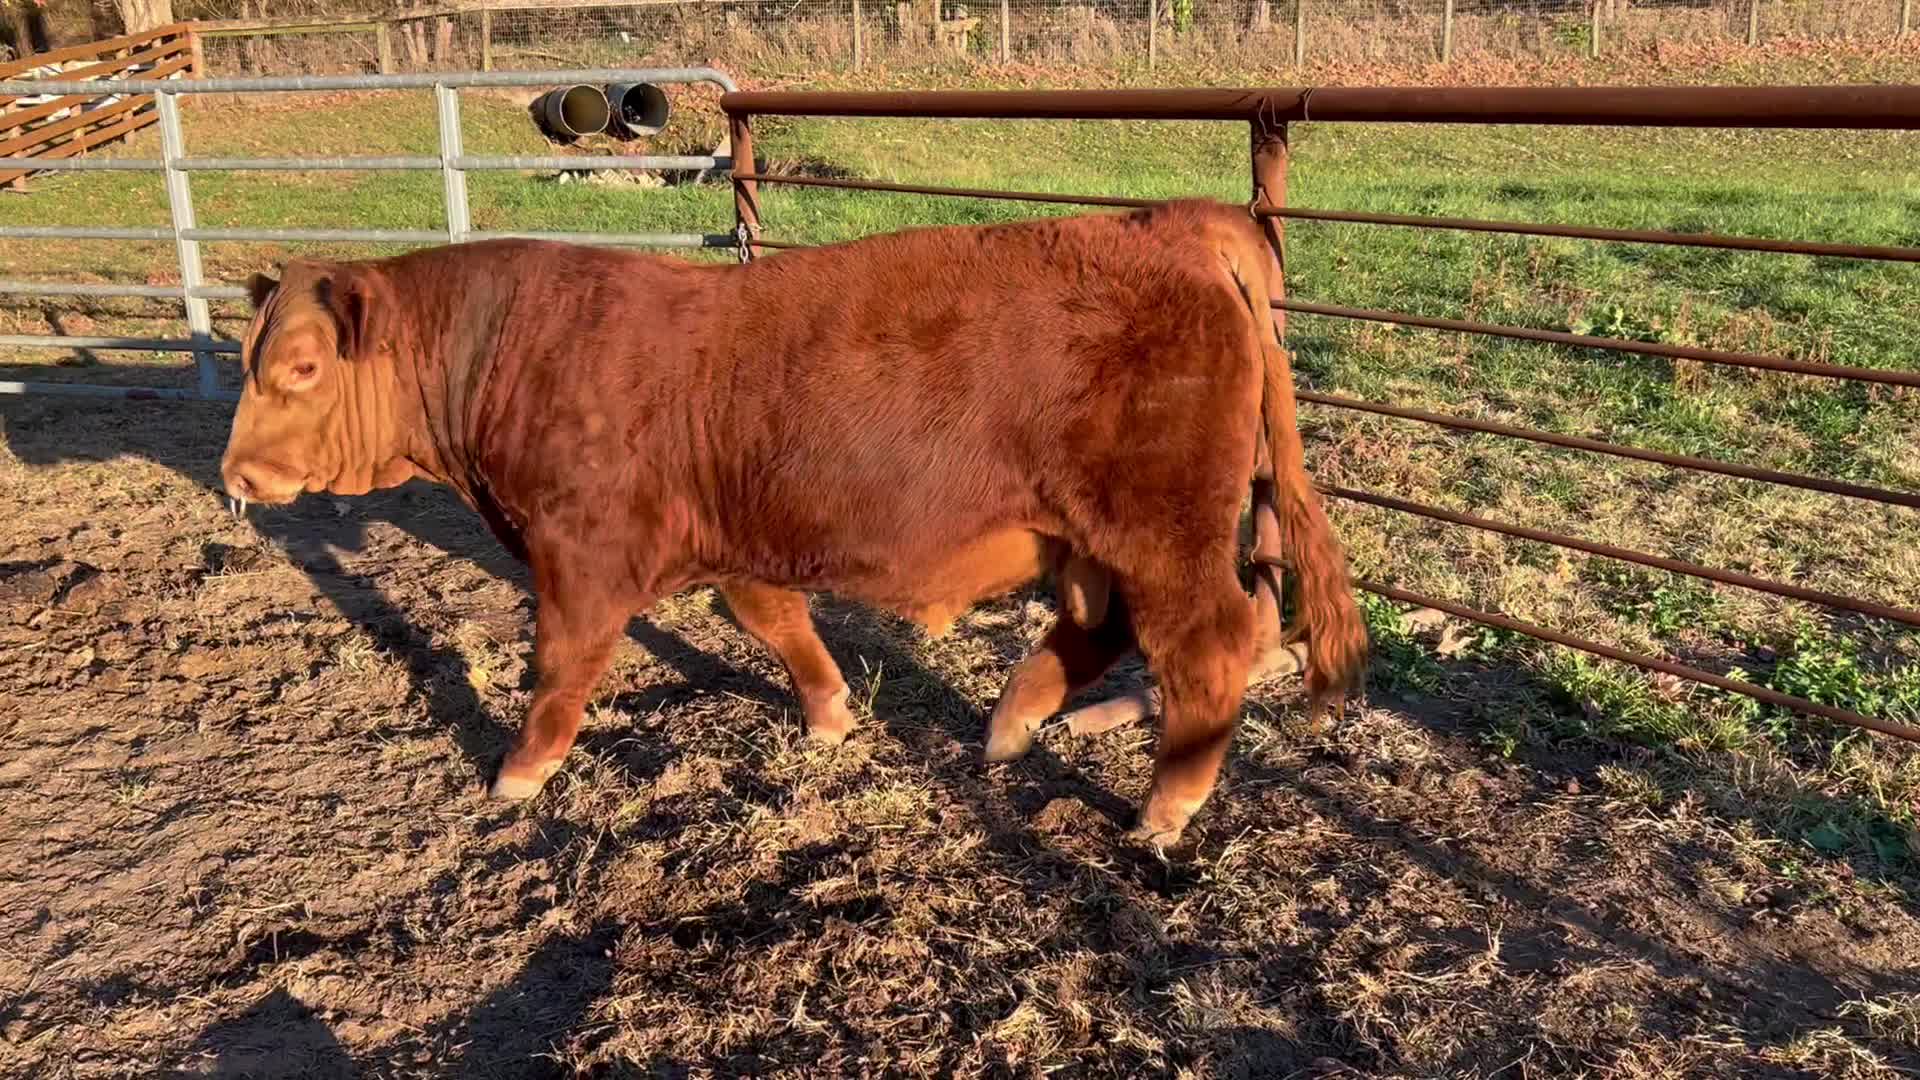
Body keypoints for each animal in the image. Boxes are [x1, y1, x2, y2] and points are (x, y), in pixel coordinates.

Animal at [218, 198, 1367, 846]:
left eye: (302, 367)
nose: (239, 472)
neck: (515, 352)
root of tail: (1165, 220)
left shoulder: (580, 557)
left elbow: (560, 666)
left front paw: (517, 773)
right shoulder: (730, 539)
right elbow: (777, 623)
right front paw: (828, 717)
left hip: (1164, 528)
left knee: (1207, 644)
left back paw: (1162, 810)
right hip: (1092, 536)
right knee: (1101, 627)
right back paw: (1009, 723)